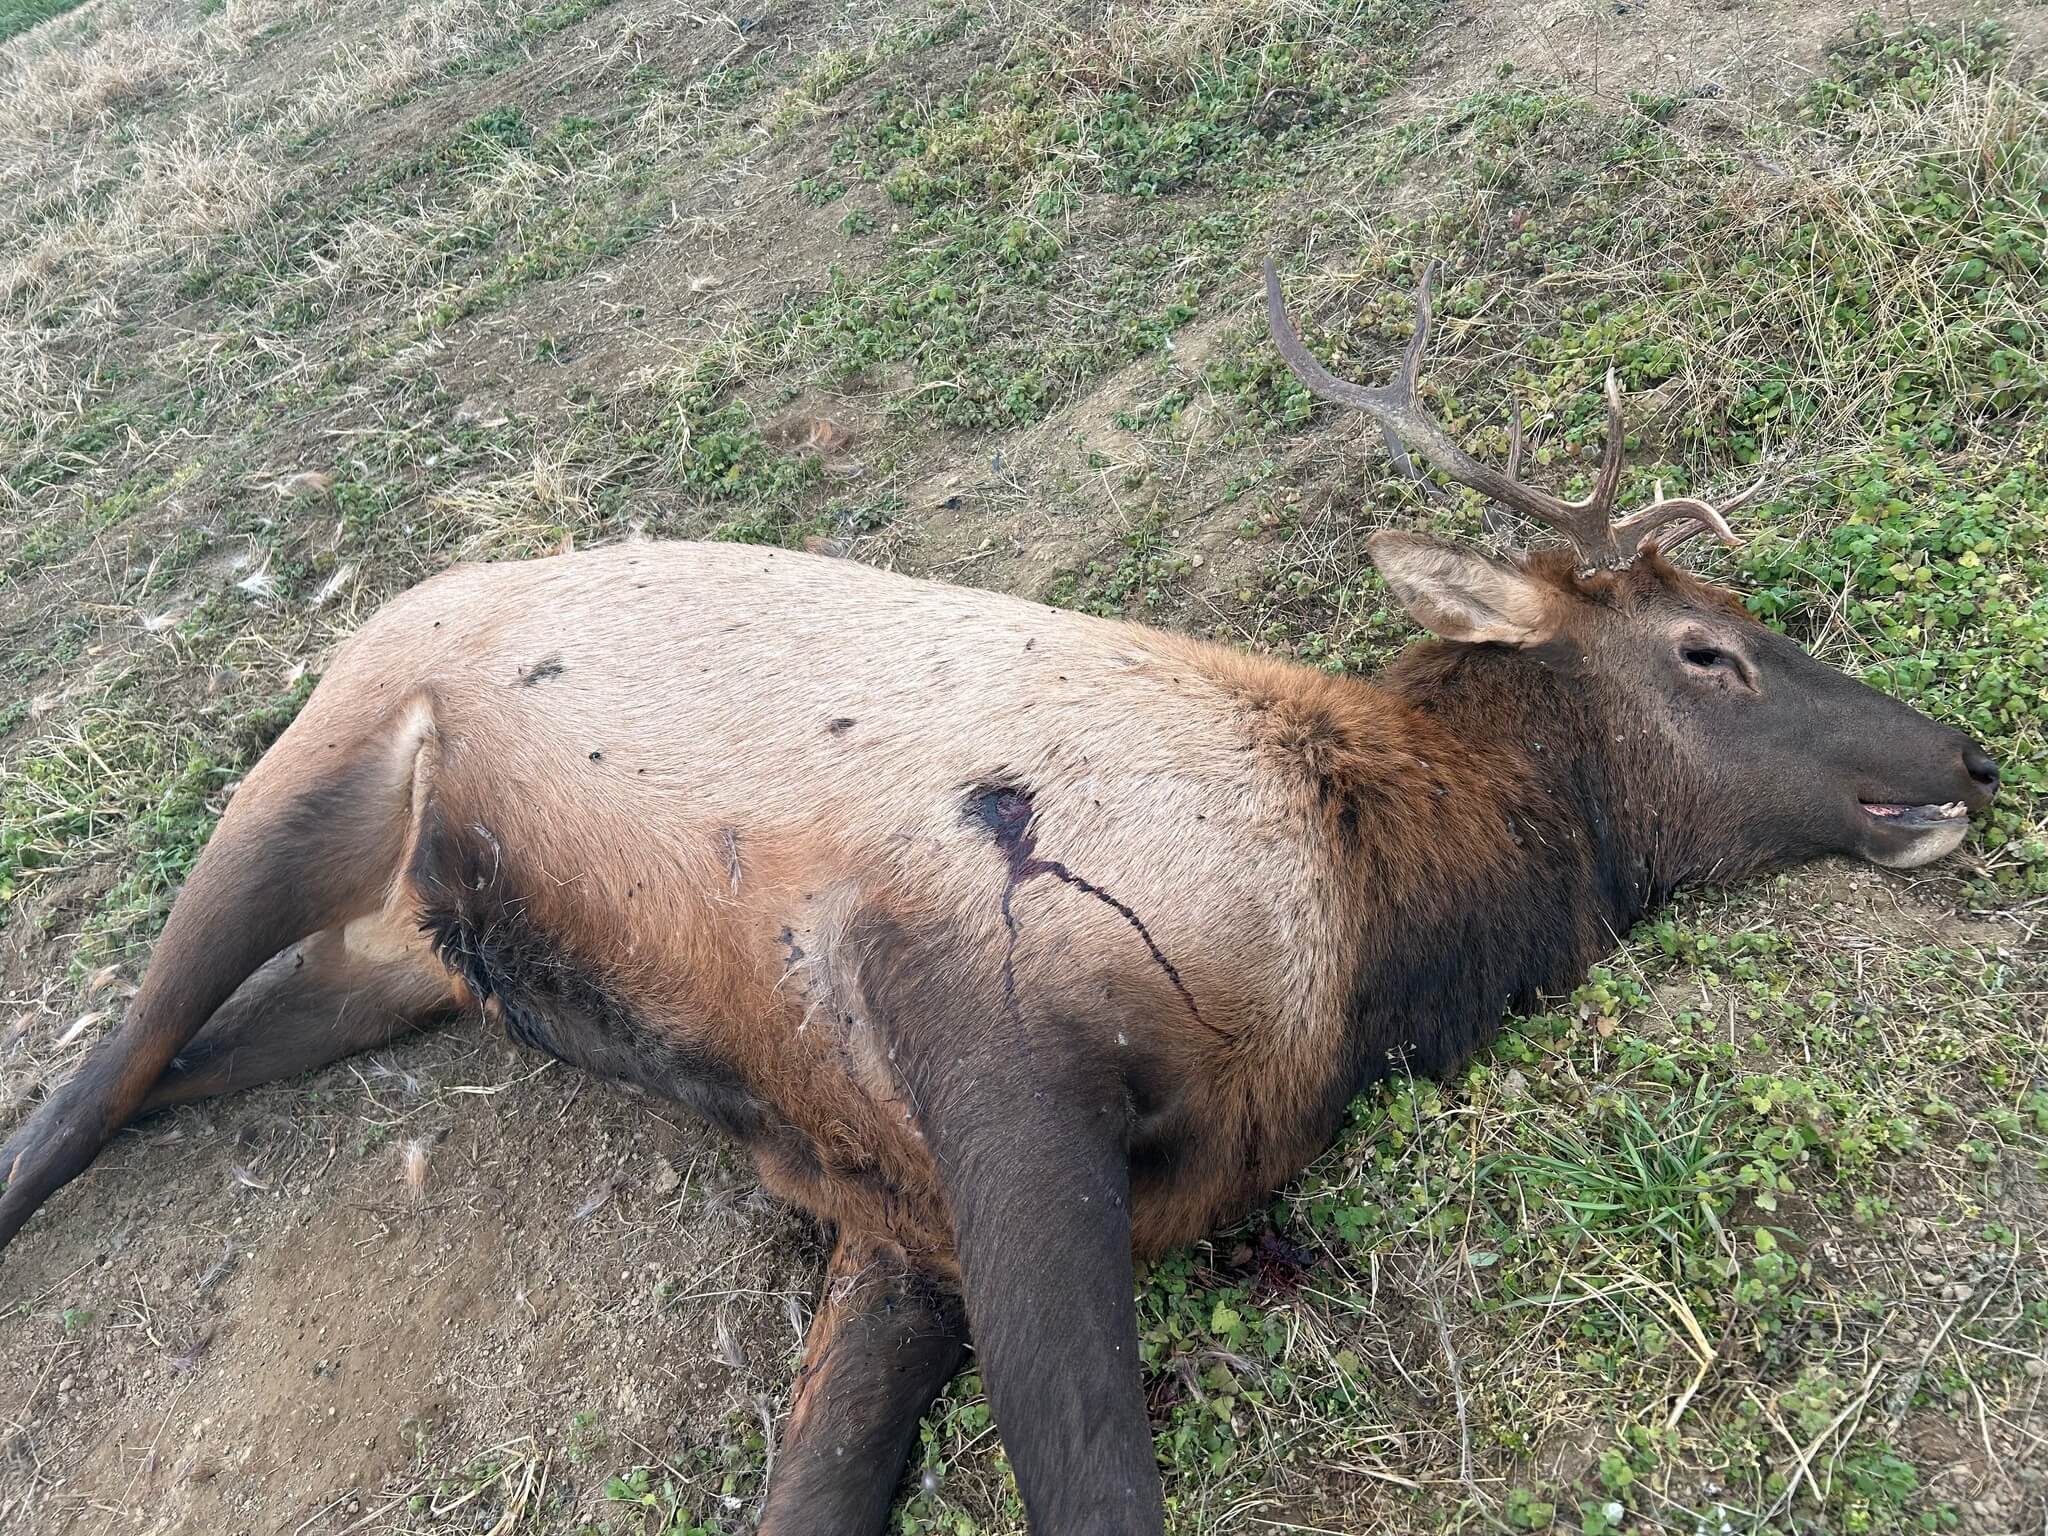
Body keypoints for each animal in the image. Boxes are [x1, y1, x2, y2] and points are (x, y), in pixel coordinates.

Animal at [0, 258, 1999, 1534]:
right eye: (1707, 650)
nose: (1971, 757)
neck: (1376, 936)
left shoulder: (895, 1214)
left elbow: (817, 1496)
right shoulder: (989, 1018)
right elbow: (1093, 1486)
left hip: (403, 952)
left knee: (155, 1073)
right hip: (323, 763)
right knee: (88, 1085)